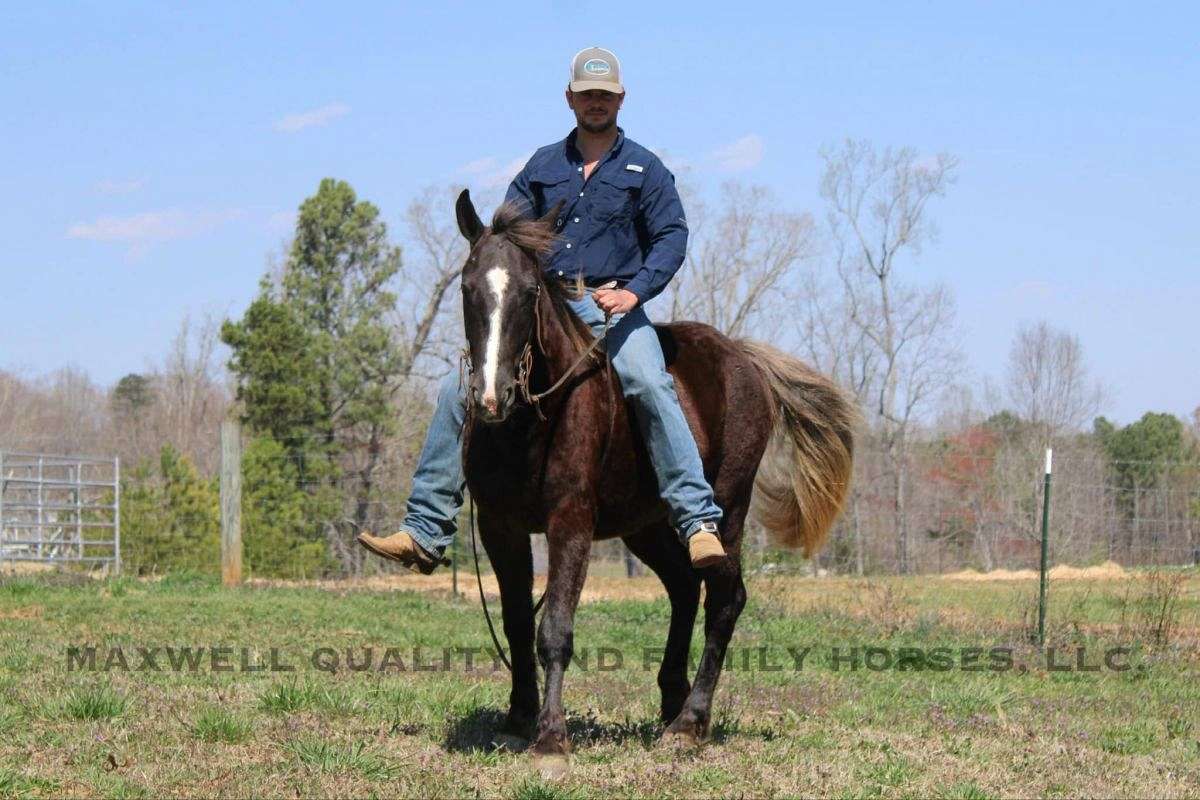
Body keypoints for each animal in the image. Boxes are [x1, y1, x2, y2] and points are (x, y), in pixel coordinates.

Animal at [453, 189, 856, 774]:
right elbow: (517, 622)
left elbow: (555, 629)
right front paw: (519, 718)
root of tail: (745, 359)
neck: (531, 421)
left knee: (725, 599)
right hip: (645, 526)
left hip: (727, 509)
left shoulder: (570, 522)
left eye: (530, 292)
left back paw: (691, 723)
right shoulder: (499, 527)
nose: (492, 396)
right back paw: (672, 704)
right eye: (467, 287)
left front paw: (551, 737)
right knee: (685, 588)